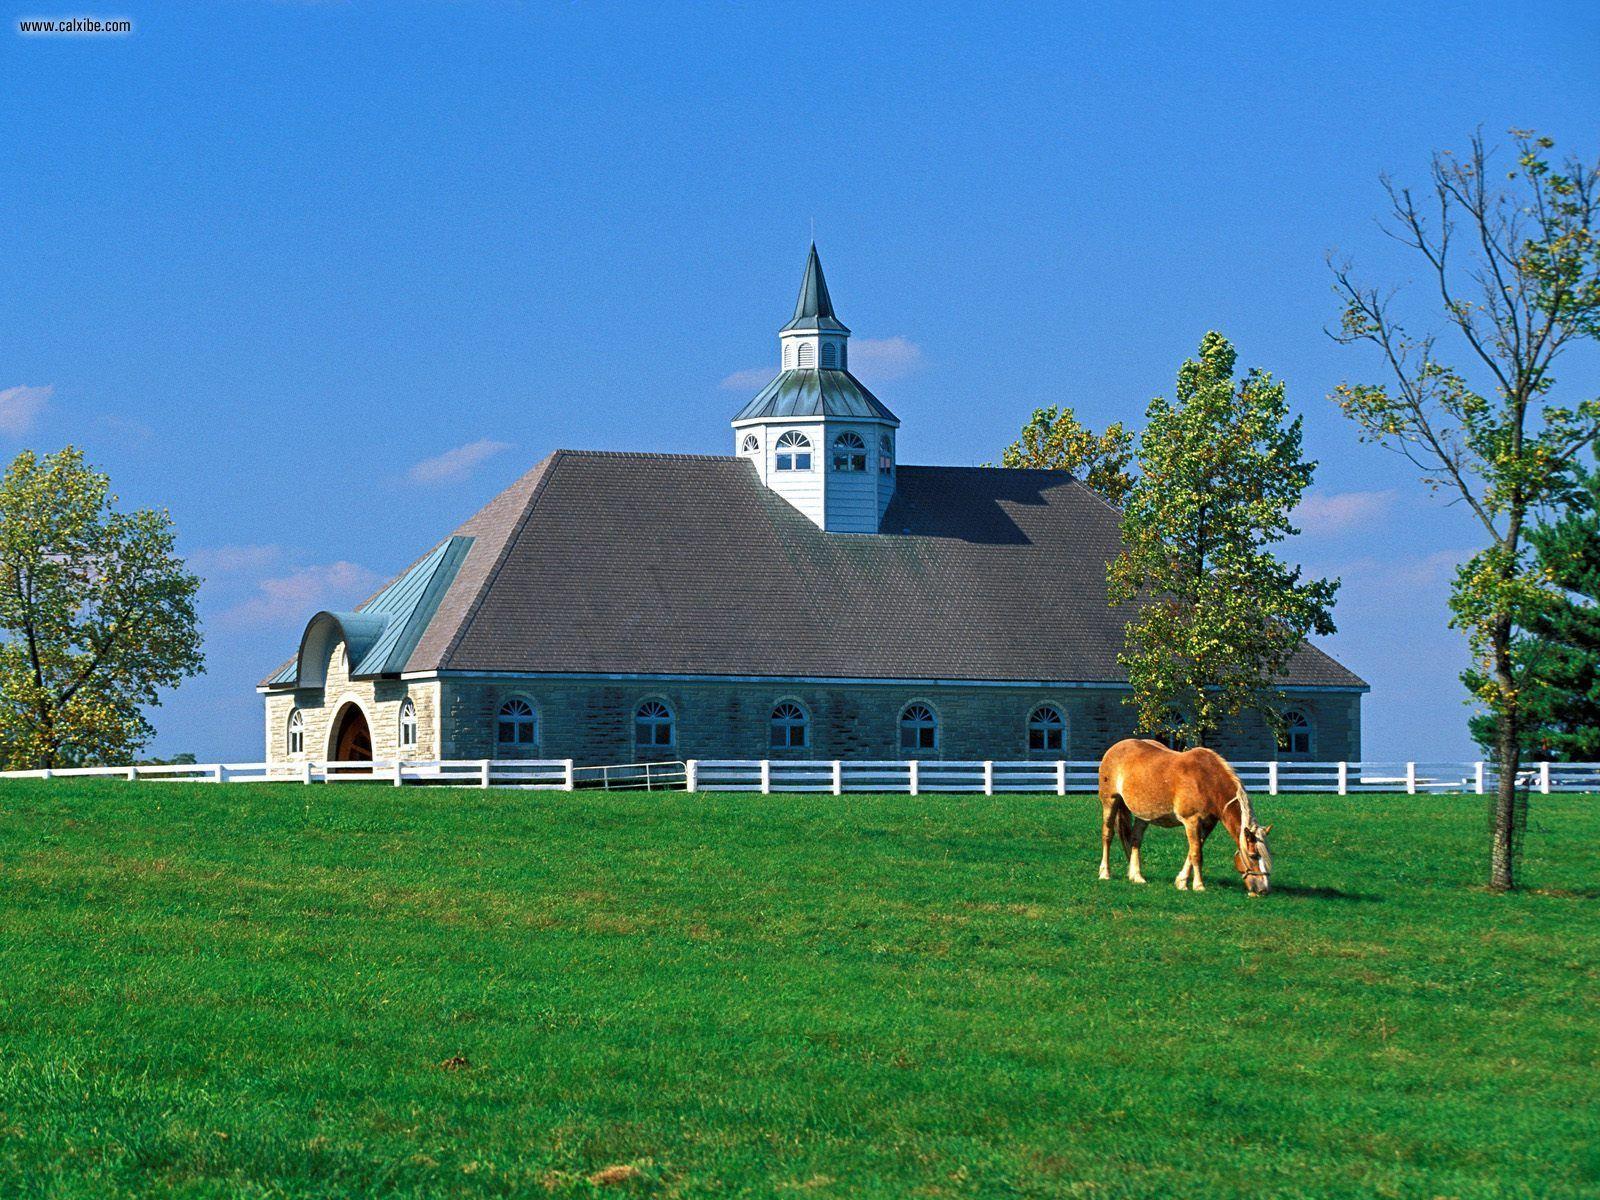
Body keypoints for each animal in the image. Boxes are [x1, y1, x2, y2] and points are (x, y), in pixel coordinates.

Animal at [1096, 738, 1273, 895]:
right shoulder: (1191, 821)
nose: (1263, 889)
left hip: (1144, 815)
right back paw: (1105, 873)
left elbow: (1194, 850)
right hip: (1110, 802)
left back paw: (1137, 876)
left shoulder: (1208, 824)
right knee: (1107, 835)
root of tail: (1115, 748)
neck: (1207, 781)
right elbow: (1196, 854)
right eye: (1253, 856)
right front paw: (1198, 886)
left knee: (1135, 840)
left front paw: (1181, 881)